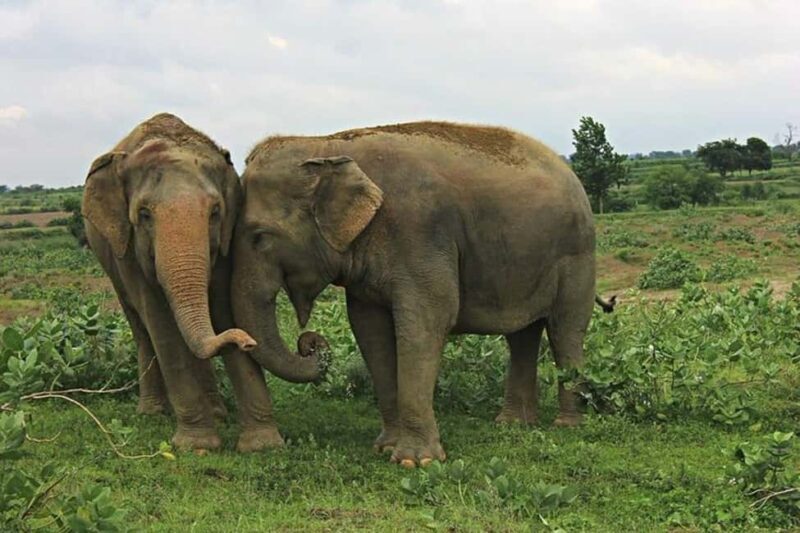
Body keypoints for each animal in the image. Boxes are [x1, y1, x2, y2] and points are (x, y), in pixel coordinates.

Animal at [82, 112, 323, 451]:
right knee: (142, 329)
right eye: (143, 214)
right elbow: (162, 325)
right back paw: (153, 412)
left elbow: (223, 309)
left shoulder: (226, 244)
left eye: (215, 212)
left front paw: (263, 445)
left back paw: (218, 412)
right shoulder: (127, 251)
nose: (248, 341)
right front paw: (198, 446)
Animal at [231, 121, 603, 467]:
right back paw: (512, 424)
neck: (327, 144)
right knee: (522, 336)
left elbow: (427, 321)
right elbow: (370, 330)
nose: (310, 342)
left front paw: (415, 461)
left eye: (260, 237)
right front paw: (386, 449)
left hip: (578, 256)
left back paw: (567, 424)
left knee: (566, 330)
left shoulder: (421, 233)